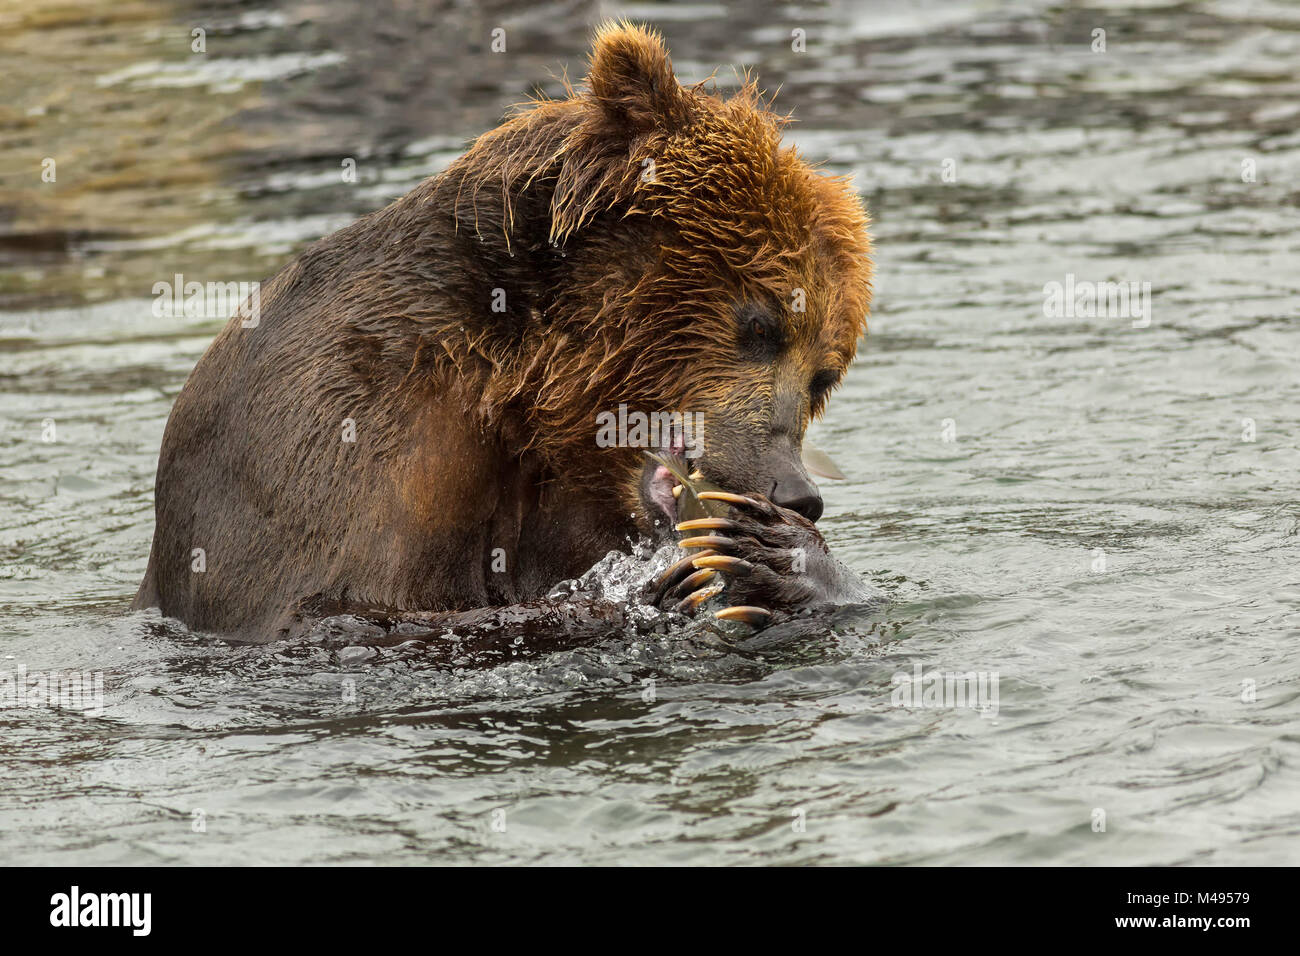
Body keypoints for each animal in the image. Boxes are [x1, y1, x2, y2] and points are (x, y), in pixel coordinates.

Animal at [133, 22, 874, 643]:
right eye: (761, 323)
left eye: (823, 375)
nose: (795, 493)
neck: (514, 384)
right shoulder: (338, 435)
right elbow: (336, 611)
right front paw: (663, 592)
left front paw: (783, 557)